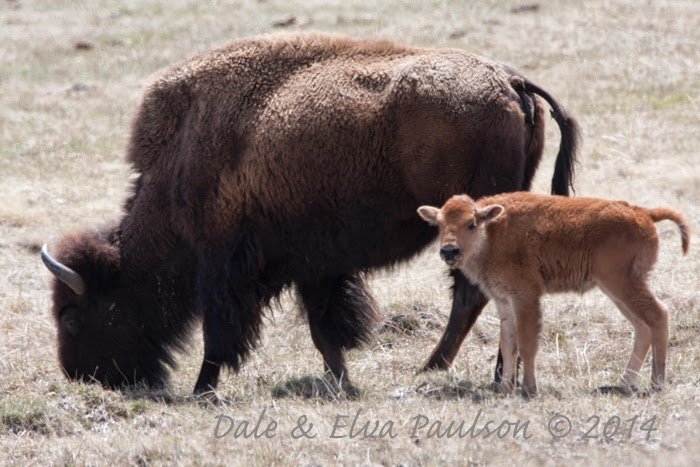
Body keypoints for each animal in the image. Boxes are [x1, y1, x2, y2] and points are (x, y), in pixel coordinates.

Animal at [41, 32, 579, 395]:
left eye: (70, 314)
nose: (83, 377)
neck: (180, 165)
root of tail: (509, 80)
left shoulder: (225, 268)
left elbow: (222, 335)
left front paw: (202, 389)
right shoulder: (316, 265)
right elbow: (325, 328)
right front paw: (341, 381)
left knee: (471, 296)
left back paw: (434, 369)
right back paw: (493, 374)